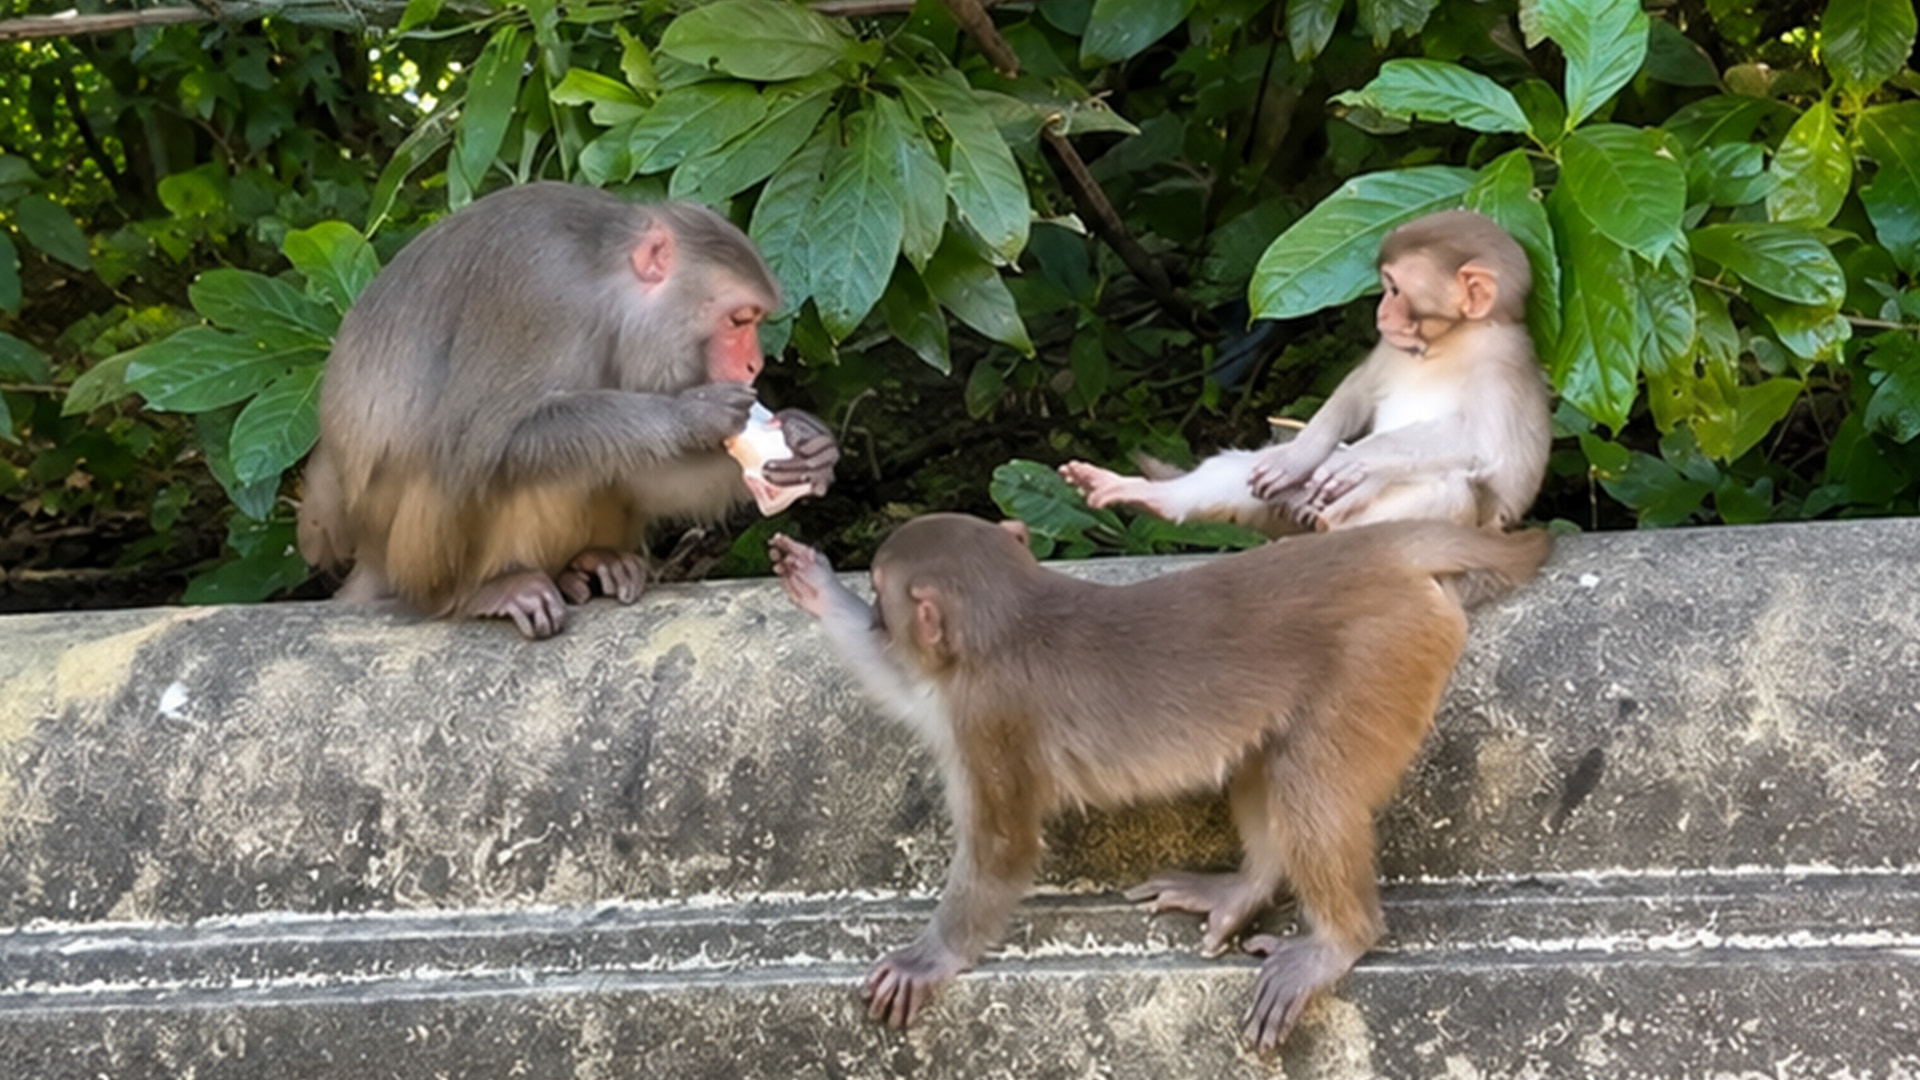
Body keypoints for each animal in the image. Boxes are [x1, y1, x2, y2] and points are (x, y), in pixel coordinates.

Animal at [296, 182, 838, 639]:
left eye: (755, 321)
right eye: (739, 319)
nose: (754, 364)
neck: (604, 289)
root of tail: (368, 551)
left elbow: (646, 472)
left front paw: (811, 446)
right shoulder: (538, 296)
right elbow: (479, 438)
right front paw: (690, 416)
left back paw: (592, 563)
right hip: (397, 546)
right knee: (471, 462)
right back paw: (475, 593)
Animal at [769, 513, 1550, 1050]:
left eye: (883, 601)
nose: (874, 617)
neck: (1012, 617)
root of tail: (1377, 549)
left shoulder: (987, 714)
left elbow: (1002, 851)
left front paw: (931, 958)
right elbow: (900, 684)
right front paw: (814, 581)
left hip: (1383, 654)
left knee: (1310, 783)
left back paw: (1339, 940)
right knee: (1270, 758)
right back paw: (1245, 891)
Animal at [1060, 209, 1549, 535]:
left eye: (1393, 289)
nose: (1381, 311)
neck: (1450, 342)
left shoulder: (1501, 368)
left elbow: (1486, 450)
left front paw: (1356, 462)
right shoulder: (1393, 348)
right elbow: (1356, 393)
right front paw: (1299, 457)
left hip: (1475, 522)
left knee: (1449, 485)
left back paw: (1334, 525)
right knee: (1254, 467)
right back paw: (1154, 497)